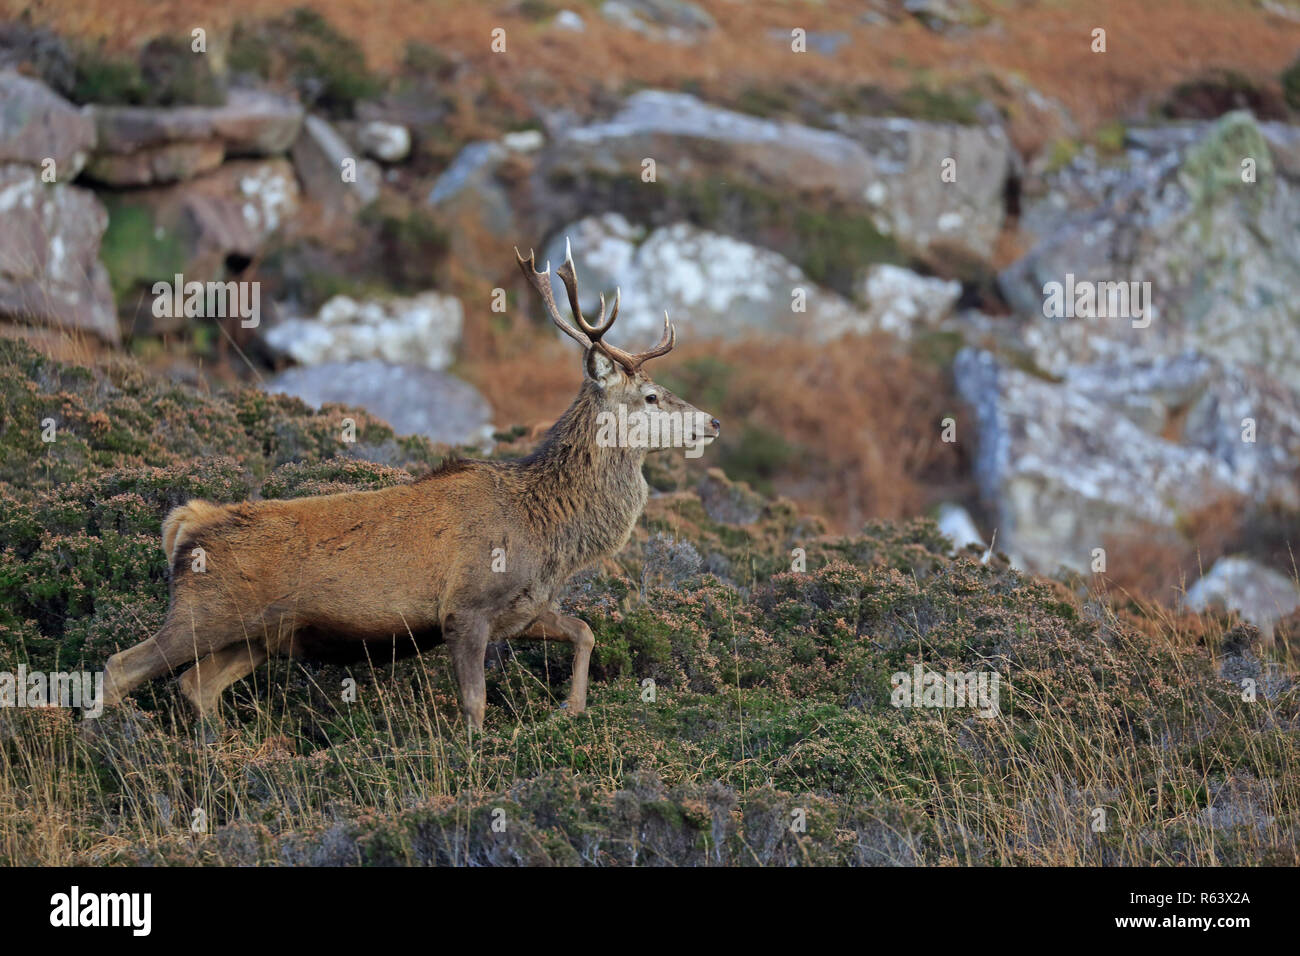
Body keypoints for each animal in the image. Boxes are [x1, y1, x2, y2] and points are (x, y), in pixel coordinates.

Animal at [100, 243, 721, 733]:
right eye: (651, 397)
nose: (712, 421)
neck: (545, 532)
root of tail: (185, 524)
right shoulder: (465, 606)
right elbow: (474, 705)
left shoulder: (522, 610)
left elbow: (586, 630)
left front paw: (570, 710)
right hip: (201, 612)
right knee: (119, 667)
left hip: (253, 636)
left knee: (196, 686)